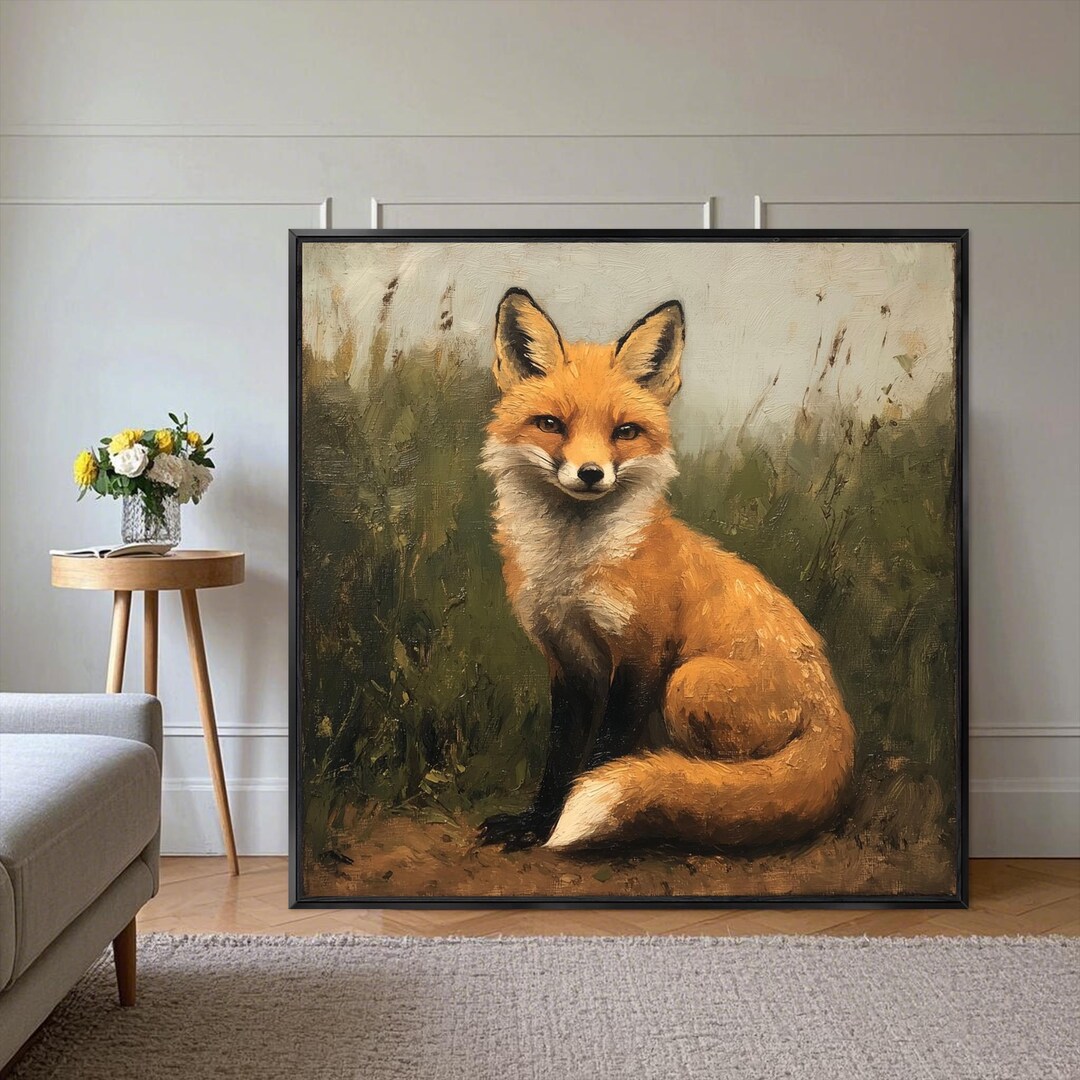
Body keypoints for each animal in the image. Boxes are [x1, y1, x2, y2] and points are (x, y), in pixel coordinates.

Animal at [478, 287, 855, 853]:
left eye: (625, 432)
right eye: (551, 424)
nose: (591, 474)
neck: (572, 569)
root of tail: (835, 712)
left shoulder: (642, 654)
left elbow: (601, 754)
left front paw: (567, 817)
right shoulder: (566, 659)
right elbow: (560, 759)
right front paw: (536, 821)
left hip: (687, 683)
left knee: (728, 782)